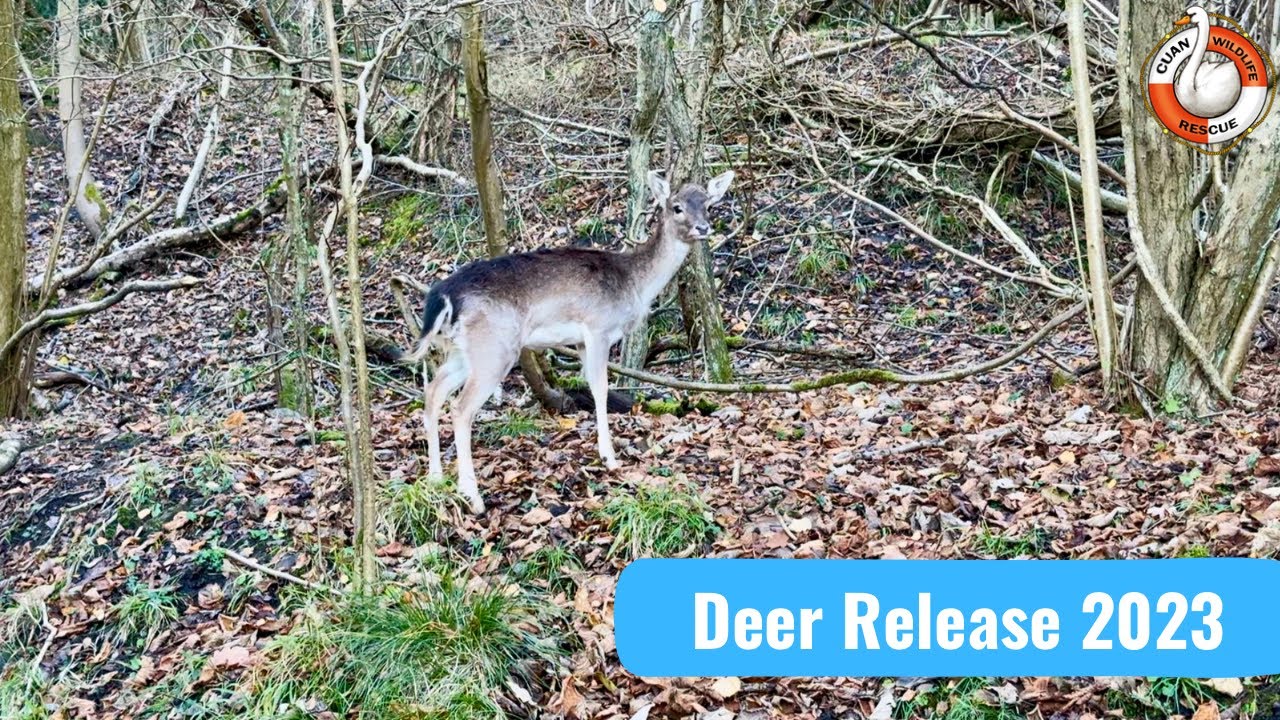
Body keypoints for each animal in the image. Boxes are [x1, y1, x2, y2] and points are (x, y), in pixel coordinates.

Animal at [402, 169, 735, 514]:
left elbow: (592, 385)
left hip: (462, 350)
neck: (634, 284)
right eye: (676, 207)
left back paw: (435, 479)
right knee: (460, 408)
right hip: (493, 346)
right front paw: (609, 457)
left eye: (709, 205)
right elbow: (601, 388)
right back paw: (472, 496)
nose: (703, 228)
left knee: (433, 392)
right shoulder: (598, 327)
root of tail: (444, 294)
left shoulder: (580, 341)